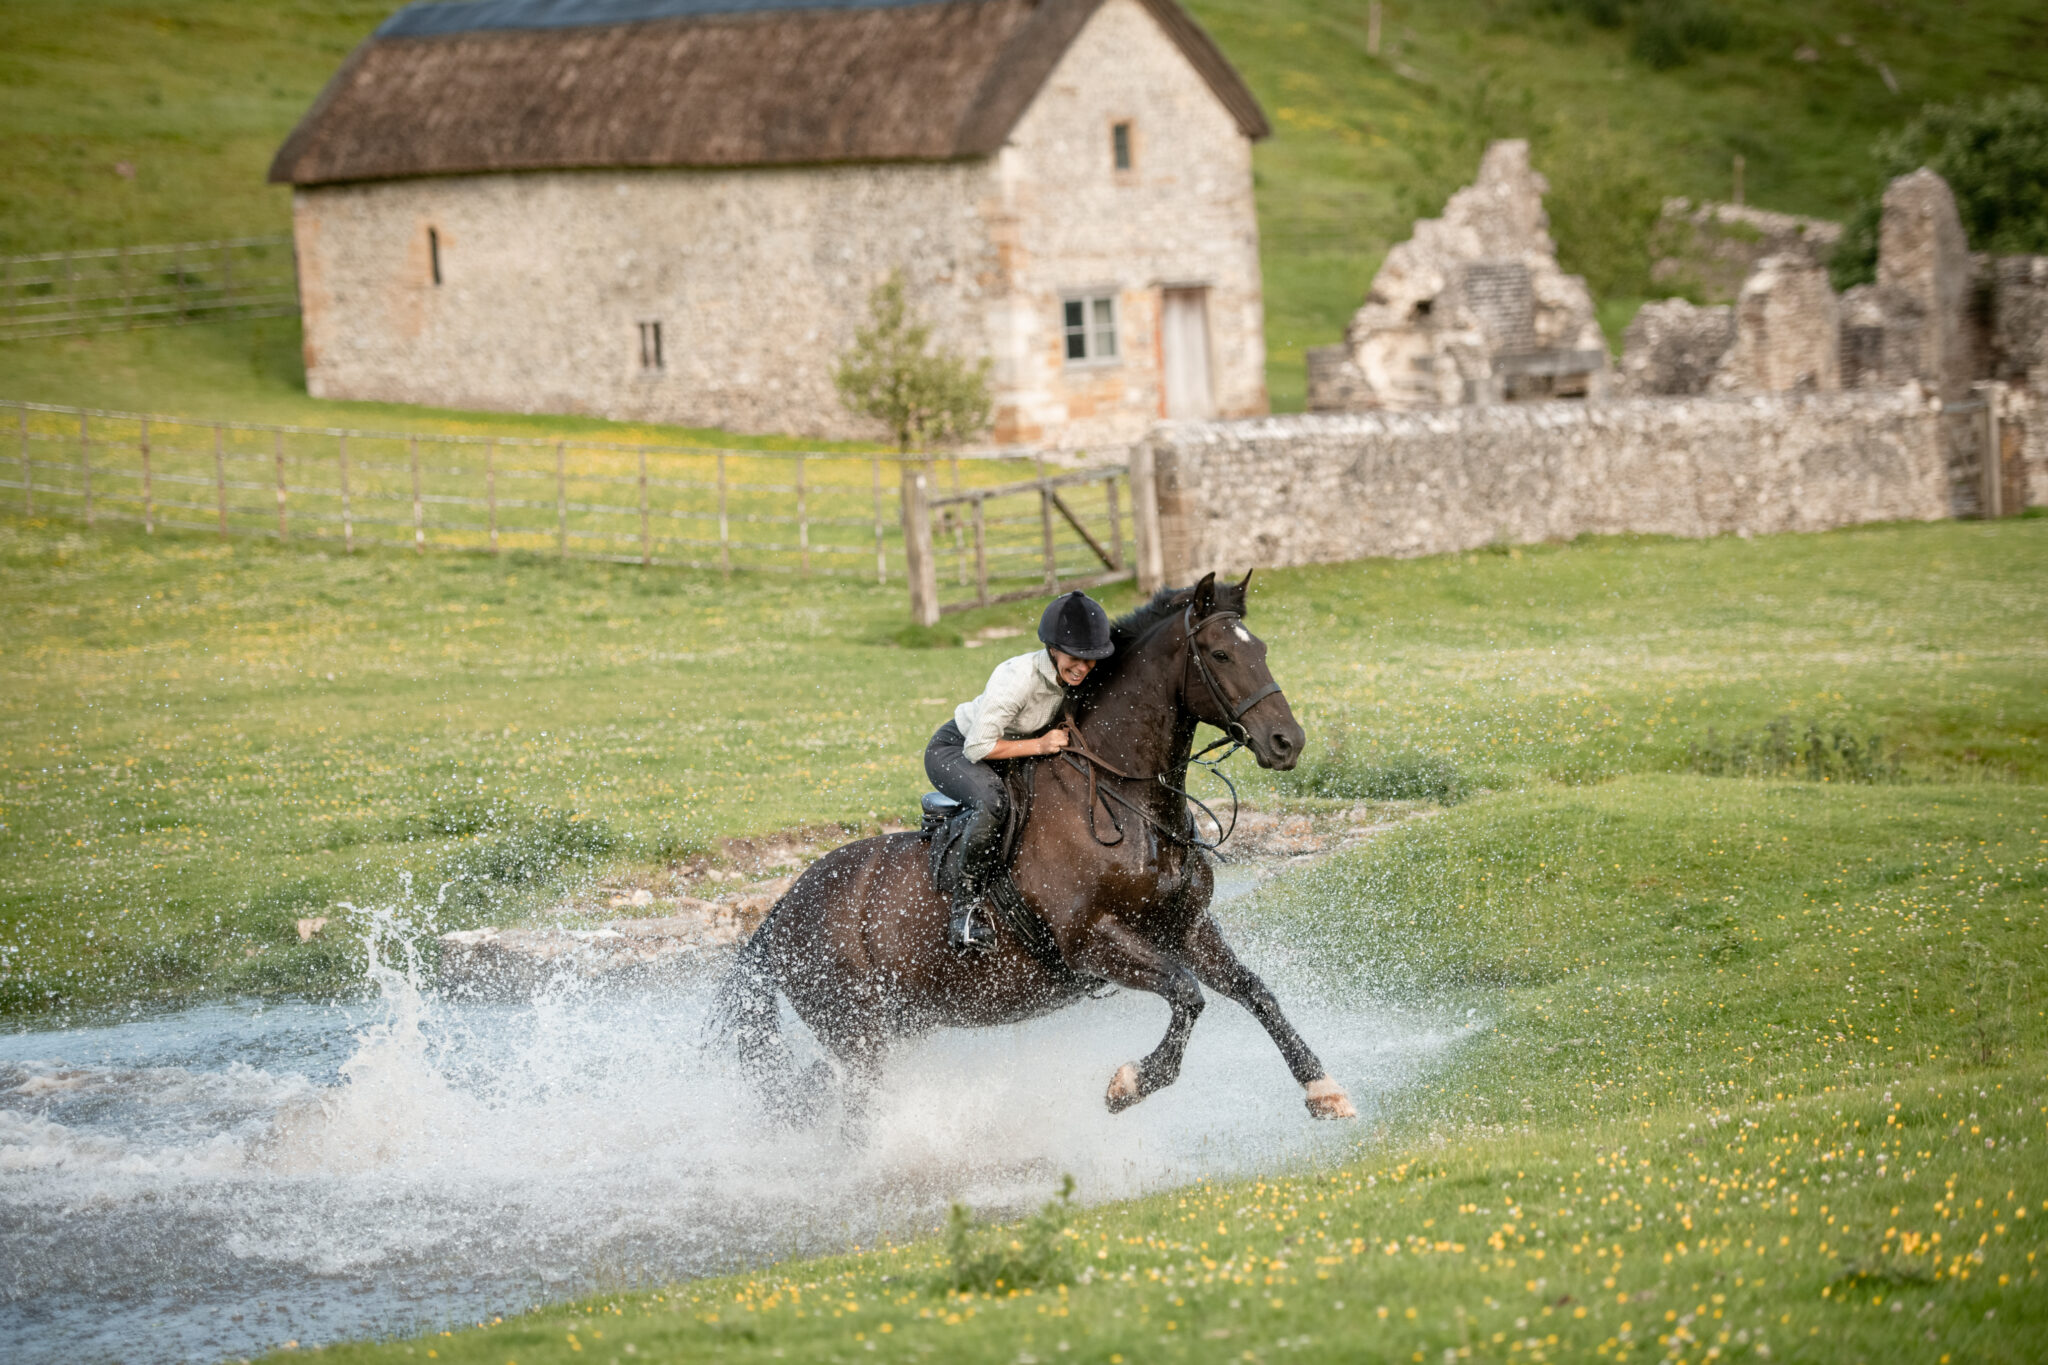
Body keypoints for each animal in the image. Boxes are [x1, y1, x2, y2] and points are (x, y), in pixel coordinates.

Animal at [713, 571, 1357, 1129]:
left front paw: (1323, 1089)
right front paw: (1128, 1084)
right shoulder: (1093, 942)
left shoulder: (1187, 928)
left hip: (898, 1027)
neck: (1124, 798)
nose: (1287, 742)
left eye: (1261, 649)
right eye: (1220, 656)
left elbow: (1255, 992)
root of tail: (777, 916)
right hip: (858, 1032)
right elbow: (1186, 995)